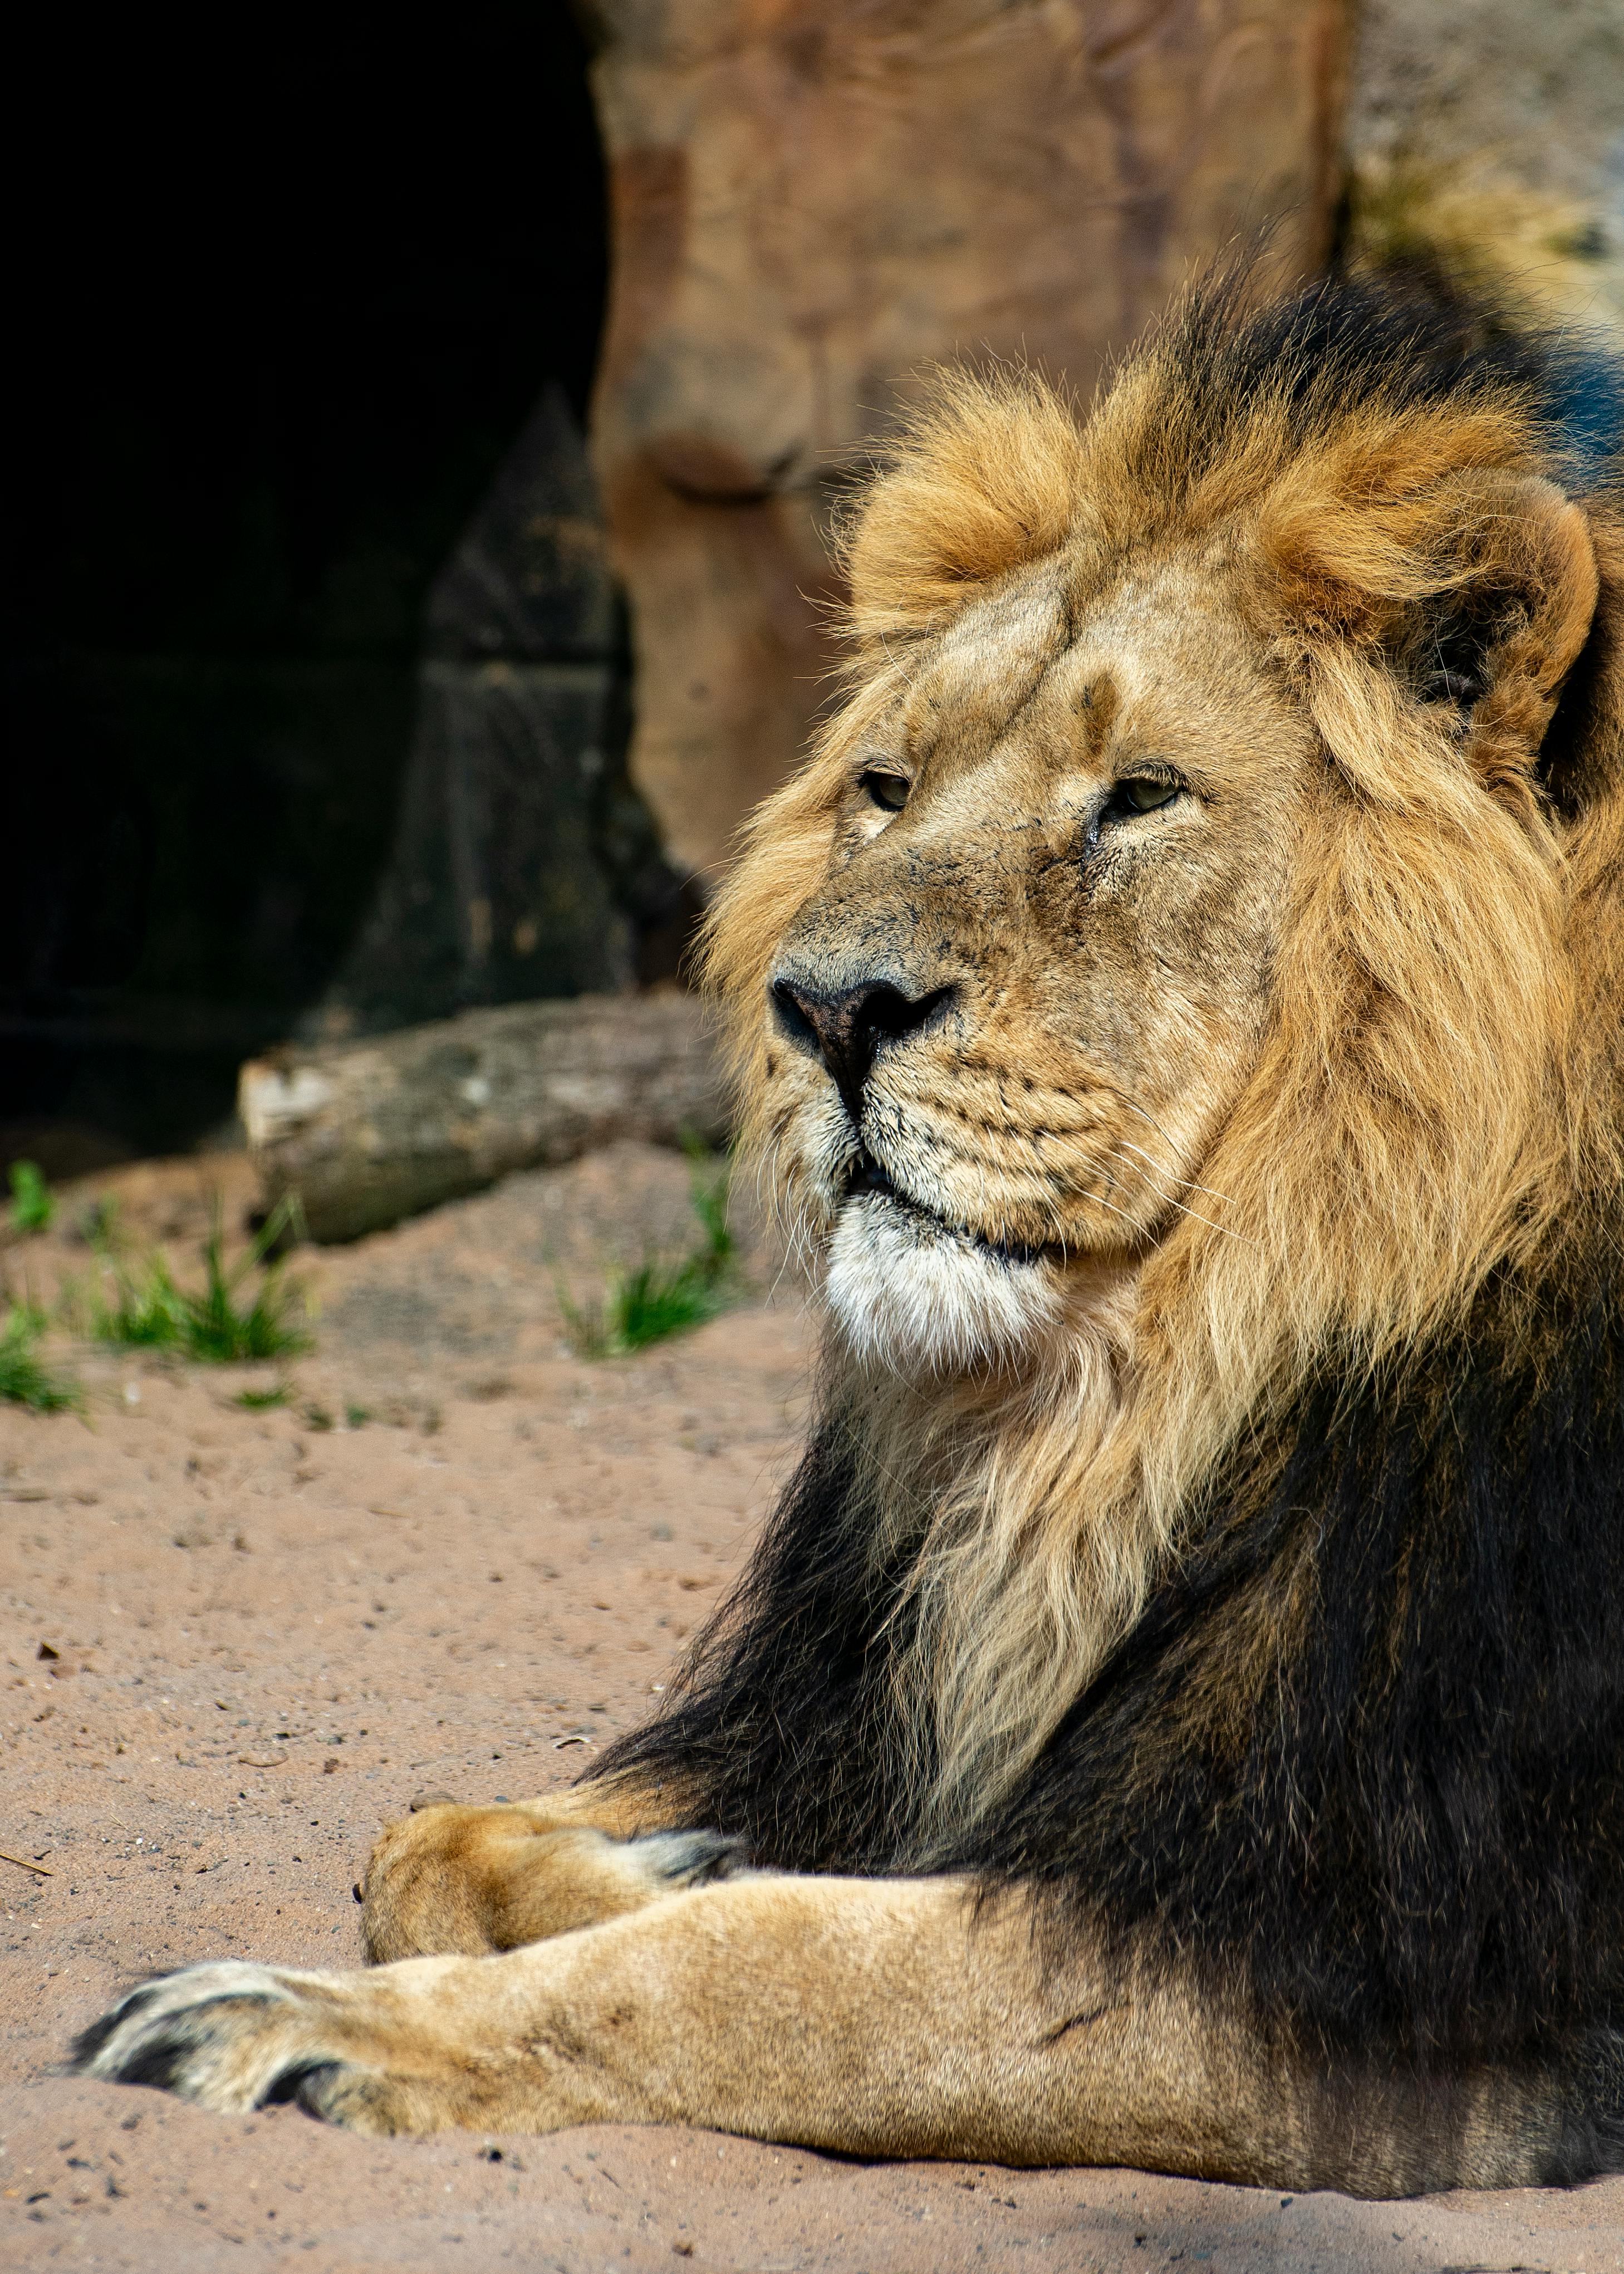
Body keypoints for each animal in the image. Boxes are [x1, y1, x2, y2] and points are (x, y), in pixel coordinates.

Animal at [74, 266, 1624, 2197]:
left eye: (1140, 797)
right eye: (887, 785)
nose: (827, 1007)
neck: (1139, 1390)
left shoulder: (1392, 1970)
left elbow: (761, 1960)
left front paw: (306, 2022)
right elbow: (425, 1838)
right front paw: (648, 1853)